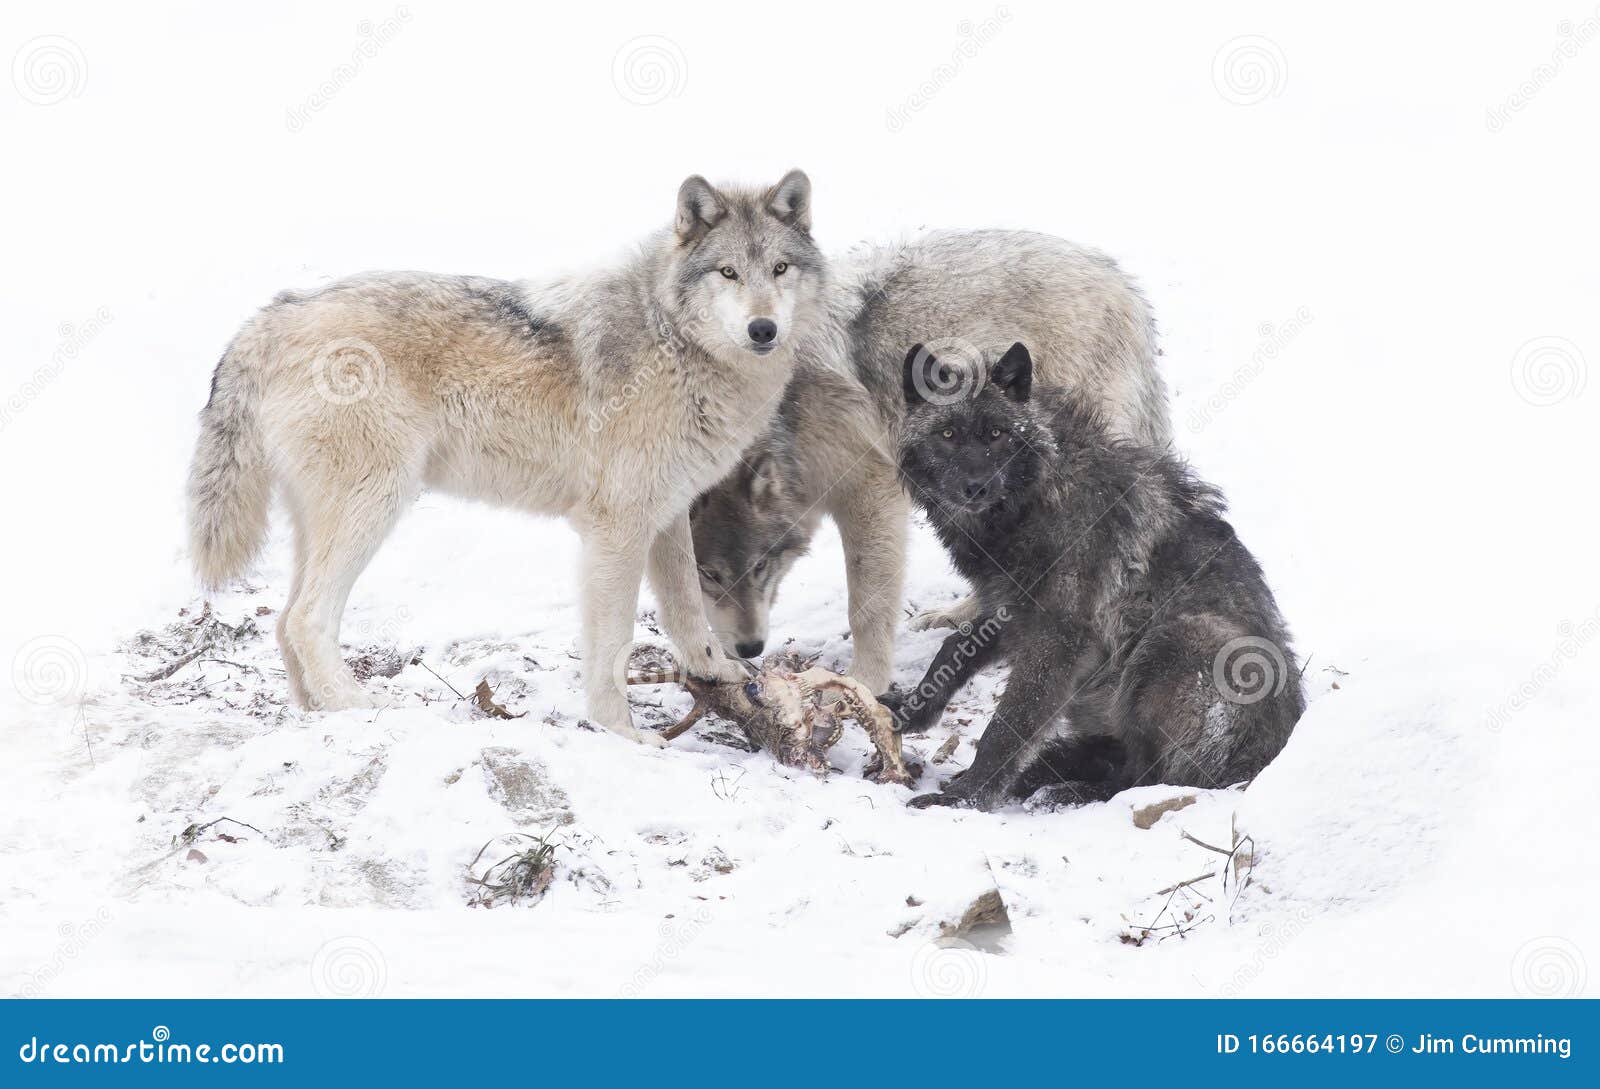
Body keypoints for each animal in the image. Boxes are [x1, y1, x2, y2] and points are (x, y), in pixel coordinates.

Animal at [187, 169, 838, 741]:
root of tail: (270, 316)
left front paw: (714, 670)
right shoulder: (615, 528)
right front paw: (623, 733)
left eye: (779, 269)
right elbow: (613, 644)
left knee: (282, 620)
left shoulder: (667, 513)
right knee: (306, 619)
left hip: (323, 519)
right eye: (728, 273)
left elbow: (684, 611)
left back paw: (315, 712)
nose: (763, 330)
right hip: (375, 504)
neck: (673, 339)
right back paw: (358, 707)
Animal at [684, 230, 1164, 690]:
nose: (748, 650)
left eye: (759, 566)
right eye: (708, 574)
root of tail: (1118, 278)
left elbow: (865, 608)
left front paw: (862, 685)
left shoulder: (871, 490)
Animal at [883, 343, 1305, 812]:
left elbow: (1007, 725)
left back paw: (1069, 790)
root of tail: (1264, 760)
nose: (976, 486)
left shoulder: (1057, 638)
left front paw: (966, 797)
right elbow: (952, 650)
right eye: (948, 434)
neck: (1037, 498)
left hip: (1180, 640)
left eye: (996, 434)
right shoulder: (1008, 612)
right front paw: (913, 710)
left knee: (1146, 777)